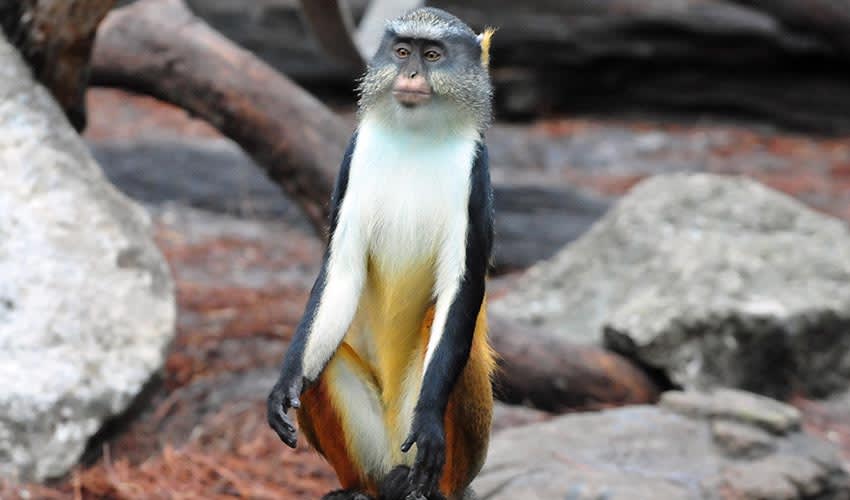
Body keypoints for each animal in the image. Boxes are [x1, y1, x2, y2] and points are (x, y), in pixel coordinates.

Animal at [267, 7, 496, 500]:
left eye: (433, 55)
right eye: (402, 51)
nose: (410, 74)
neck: (416, 137)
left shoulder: (476, 177)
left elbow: (462, 288)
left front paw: (428, 422)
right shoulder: (352, 160)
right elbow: (340, 272)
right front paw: (285, 383)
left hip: (447, 453)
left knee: (439, 330)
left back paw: (427, 486)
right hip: (372, 447)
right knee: (326, 359)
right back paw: (356, 487)